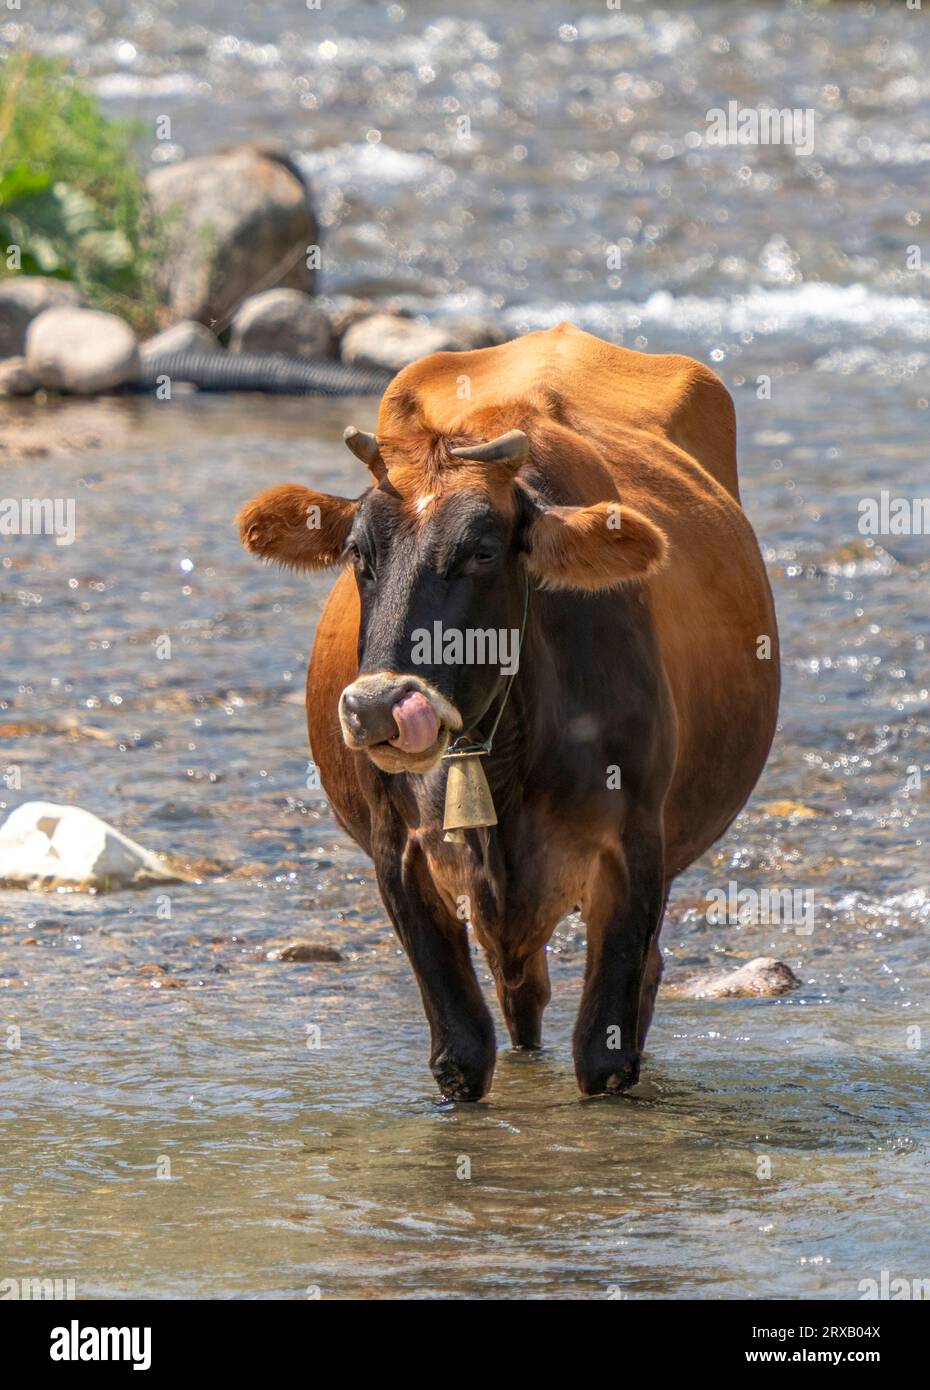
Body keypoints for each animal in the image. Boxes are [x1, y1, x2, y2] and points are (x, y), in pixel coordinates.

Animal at [238, 323, 779, 1101]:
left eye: (484, 551)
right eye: (357, 553)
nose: (378, 708)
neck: (500, 754)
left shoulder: (634, 850)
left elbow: (605, 1052)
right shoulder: (397, 852)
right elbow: (461, 1051)